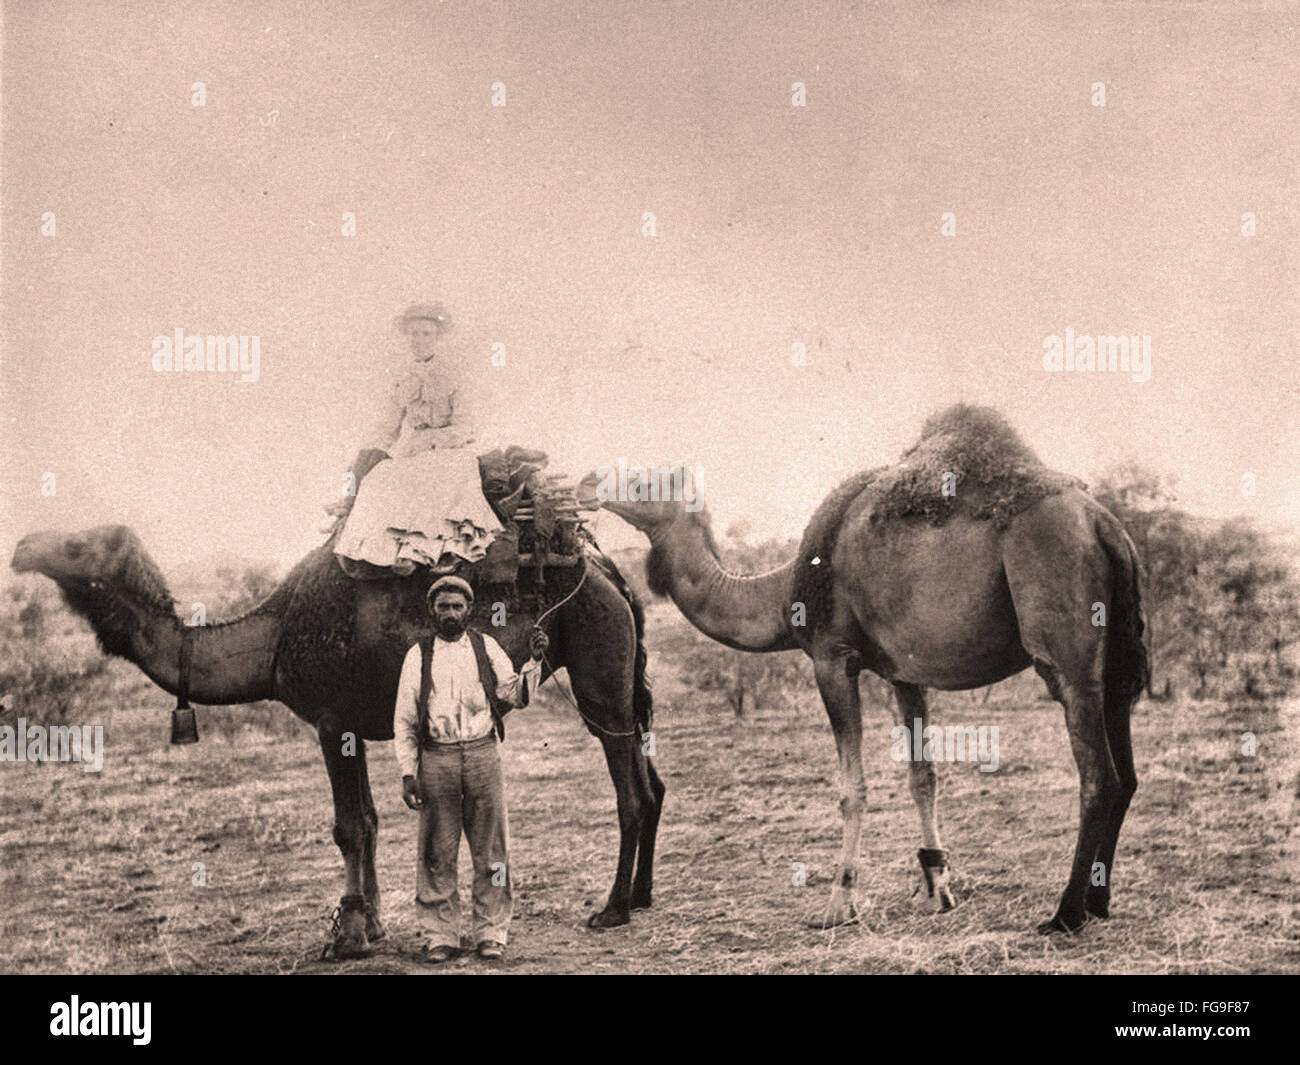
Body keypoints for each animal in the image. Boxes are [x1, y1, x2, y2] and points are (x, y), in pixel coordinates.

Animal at [10, 523, 663, 957]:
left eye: (76, 544)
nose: (20, 547)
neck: (272, 639)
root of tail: (612, 575)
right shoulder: (357, 725)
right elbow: (370, 821)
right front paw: (371, 925)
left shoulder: (331, 720)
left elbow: (348, 826)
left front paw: (347, 937)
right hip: (618, 681)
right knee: (652, 782)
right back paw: (643, 896)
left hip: (600, 669)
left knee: (630, 791)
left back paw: (612, 909)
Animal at [595, 405, 1149, 934]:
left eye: (643, 484)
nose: (589, 484)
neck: (782, 592)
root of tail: (1105, 526)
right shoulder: (906, 672)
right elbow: (923, 775)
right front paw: (936, 890)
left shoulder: (831, 657)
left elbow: (852, 788)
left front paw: (838, 904)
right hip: (1114, 664)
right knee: (1125, 775)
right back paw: (1098, 903)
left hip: (1066, 646)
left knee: (1097, 776)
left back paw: (1066, 914)